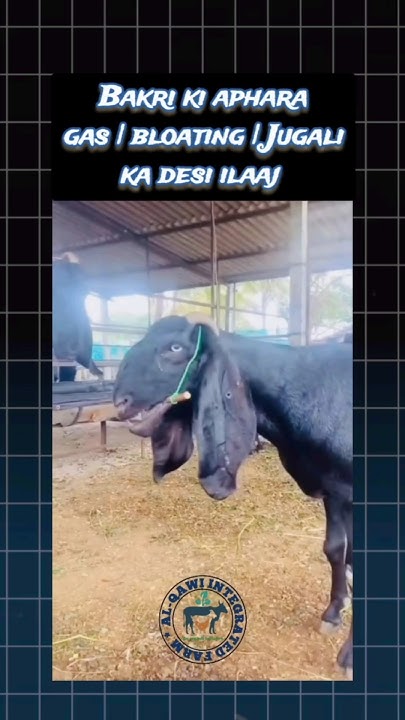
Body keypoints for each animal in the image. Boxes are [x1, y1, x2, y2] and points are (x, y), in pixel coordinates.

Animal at [113, 314, 353, 678]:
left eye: (175, 348)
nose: (120, 401)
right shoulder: (334, 488)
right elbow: (335, 549)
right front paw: (334, 611)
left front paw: (349, 656)